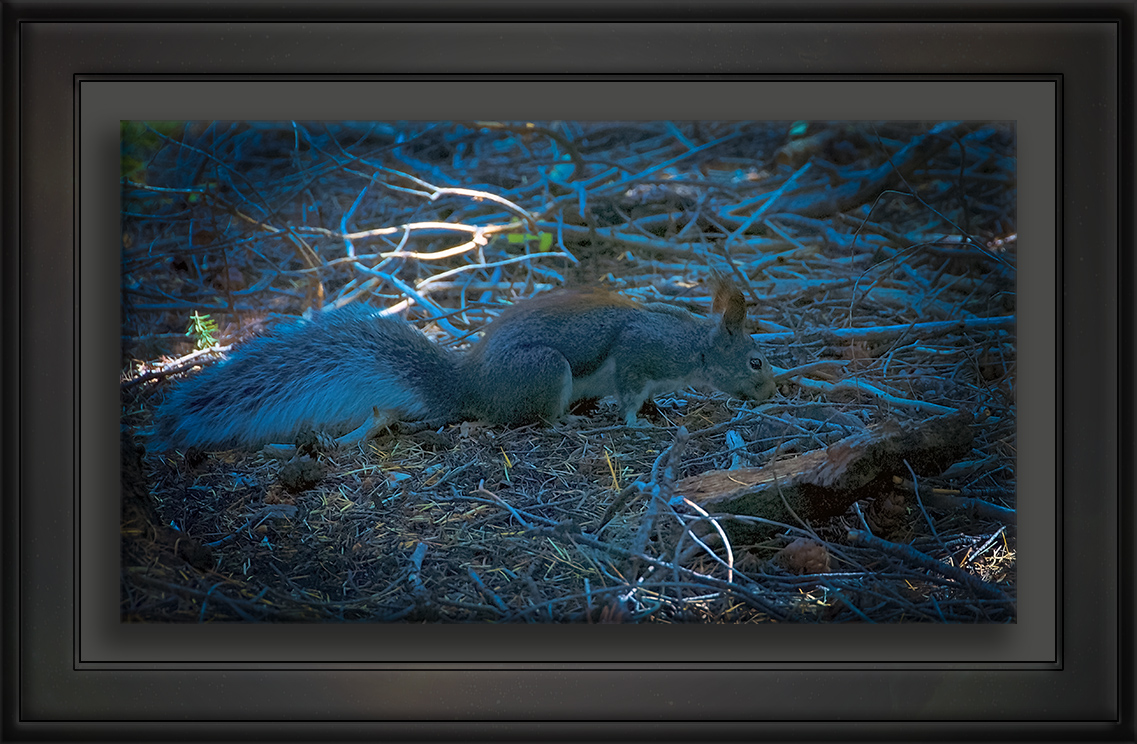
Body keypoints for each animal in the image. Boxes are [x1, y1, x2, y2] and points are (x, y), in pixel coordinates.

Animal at [152, 278, 778, 451]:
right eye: (755, 361)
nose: (773, 393)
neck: (693, 346)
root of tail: (471, 386)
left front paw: (656, 412)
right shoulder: (637, 352)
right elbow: (628, 390)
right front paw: (635, 423)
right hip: (546, 372)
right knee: (535, 417)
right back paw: (567, 422)